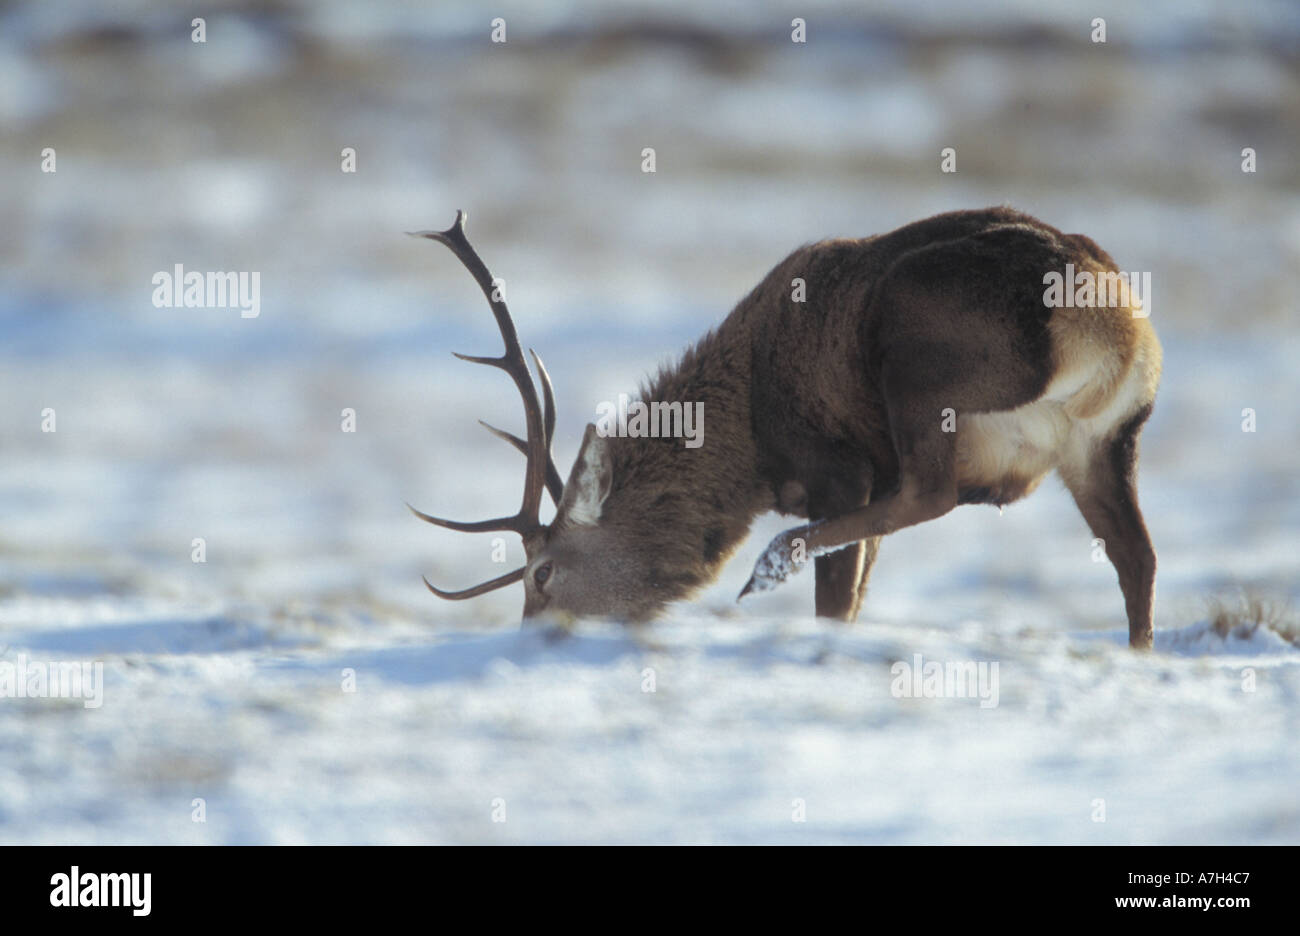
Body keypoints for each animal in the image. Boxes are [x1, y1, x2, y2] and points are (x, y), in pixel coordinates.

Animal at [408, 207, 1162, 648]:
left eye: (542, 572)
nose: (532, 636)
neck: (750, 453)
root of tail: (1111, 322)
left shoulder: (839, 468)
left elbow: (837, 598)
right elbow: (856, 592)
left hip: (917, 361)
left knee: (935, 493)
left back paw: (767, 566)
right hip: (1104, 440)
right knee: (1138, 557)